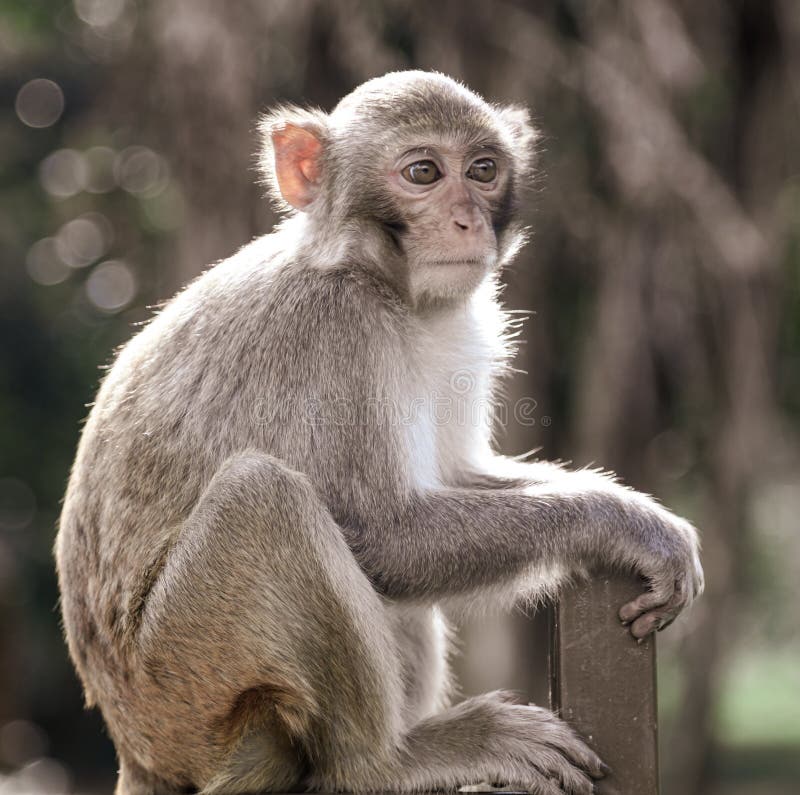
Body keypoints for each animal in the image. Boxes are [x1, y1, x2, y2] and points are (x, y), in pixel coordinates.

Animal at [55, 71, 703, 795]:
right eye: (423, 172)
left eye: (483, 171)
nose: (466, 219)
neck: (376, 278)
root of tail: (136, 750)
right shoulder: (337, 328)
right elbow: (383, 531)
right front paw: (622, 522)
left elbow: (453, 482)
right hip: (186, 685)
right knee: (264, 496)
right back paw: (389, 761)